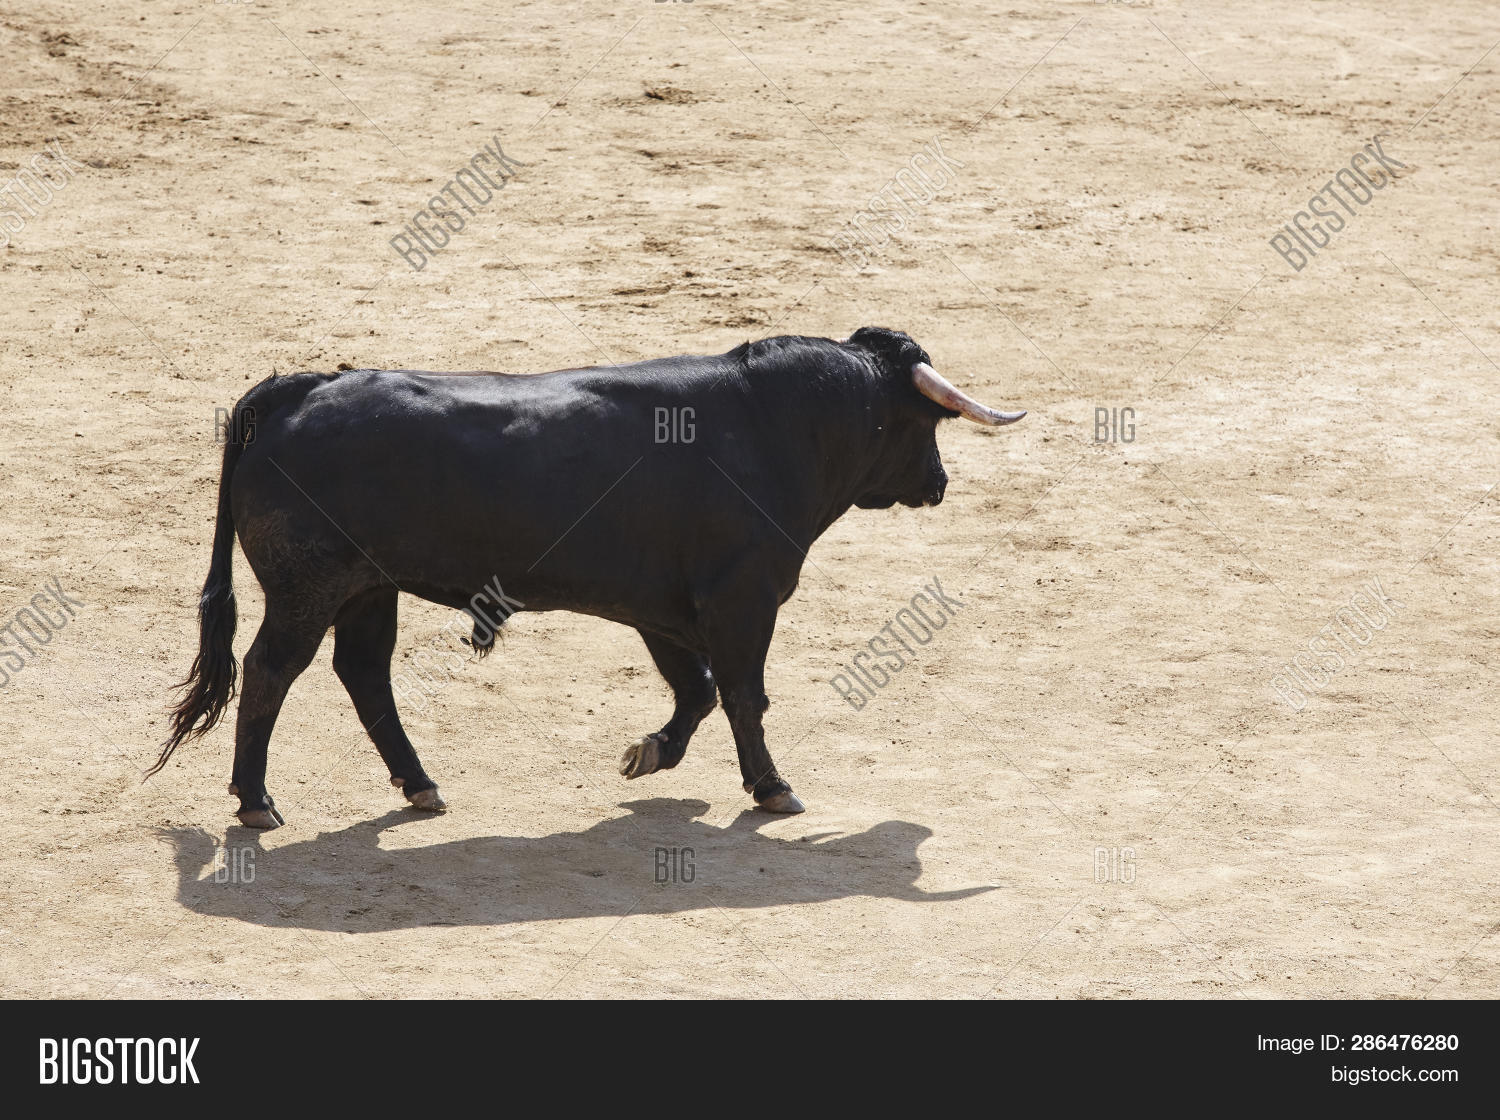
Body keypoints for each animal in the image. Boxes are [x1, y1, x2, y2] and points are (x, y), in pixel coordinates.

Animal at [153, 327, 1024, 828]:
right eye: (926, 420)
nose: (939, 483)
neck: (778, 424)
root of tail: (299, 387)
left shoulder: (661, 610)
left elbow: (698, 691)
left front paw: (649, 754)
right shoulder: (741, 601)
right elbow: (744, 694)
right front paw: (773, 788)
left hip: (370, 588)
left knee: (362, 673)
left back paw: (421, 786)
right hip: (309, 589)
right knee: (271, 672)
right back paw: (257, 802)